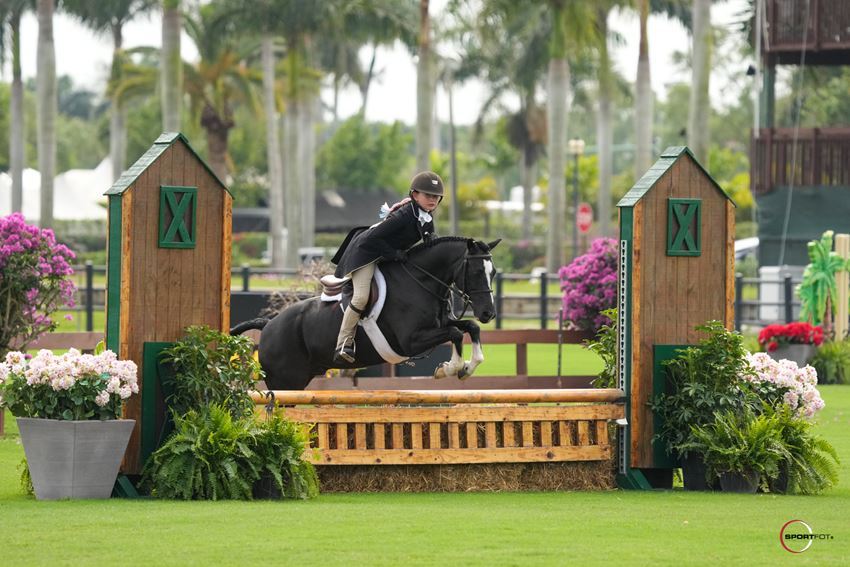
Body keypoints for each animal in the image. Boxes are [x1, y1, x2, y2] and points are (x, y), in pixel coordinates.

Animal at [231, 237, 501, 390]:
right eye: (476, 271)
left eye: (494, 272)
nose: (488, 313)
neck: (419, 281)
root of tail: (267, 325)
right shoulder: (410, 341)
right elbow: (455, 333)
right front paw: (451, 368)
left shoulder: (439, 323)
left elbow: (469, 327)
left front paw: (466, 368)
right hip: (285, 382)